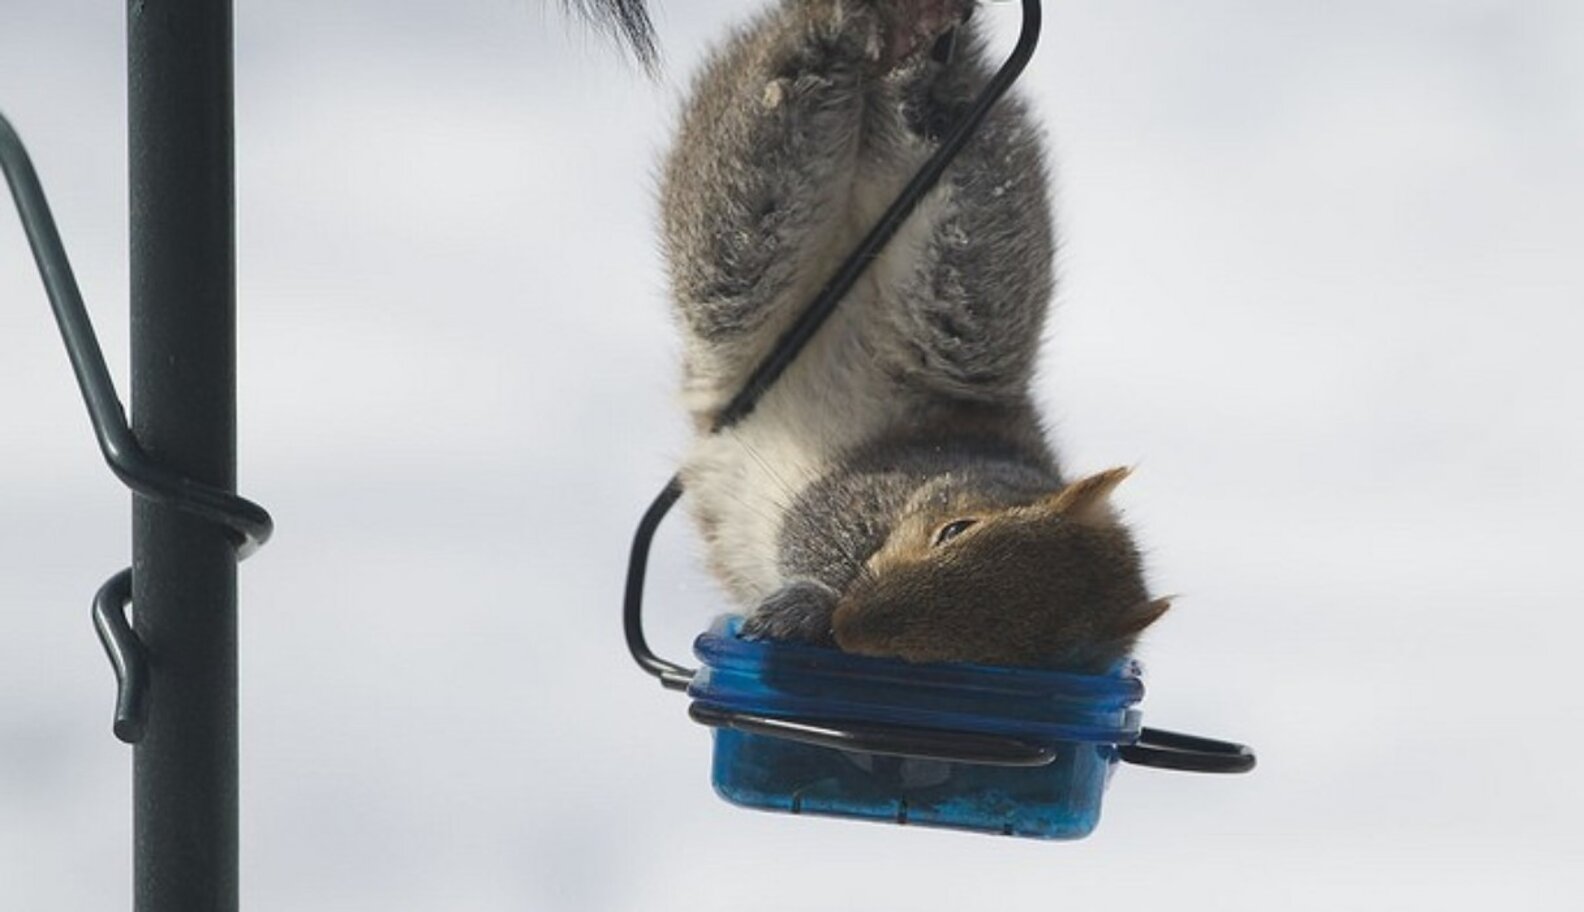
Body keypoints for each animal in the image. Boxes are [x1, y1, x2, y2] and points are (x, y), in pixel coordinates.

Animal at [658, 0, 1173, 673]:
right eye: (958, 528)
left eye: (986, 657)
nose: (848, 624)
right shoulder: (866, 487)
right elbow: (809, 527)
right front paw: (805, 601)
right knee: (794, 98)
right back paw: (888, 53)